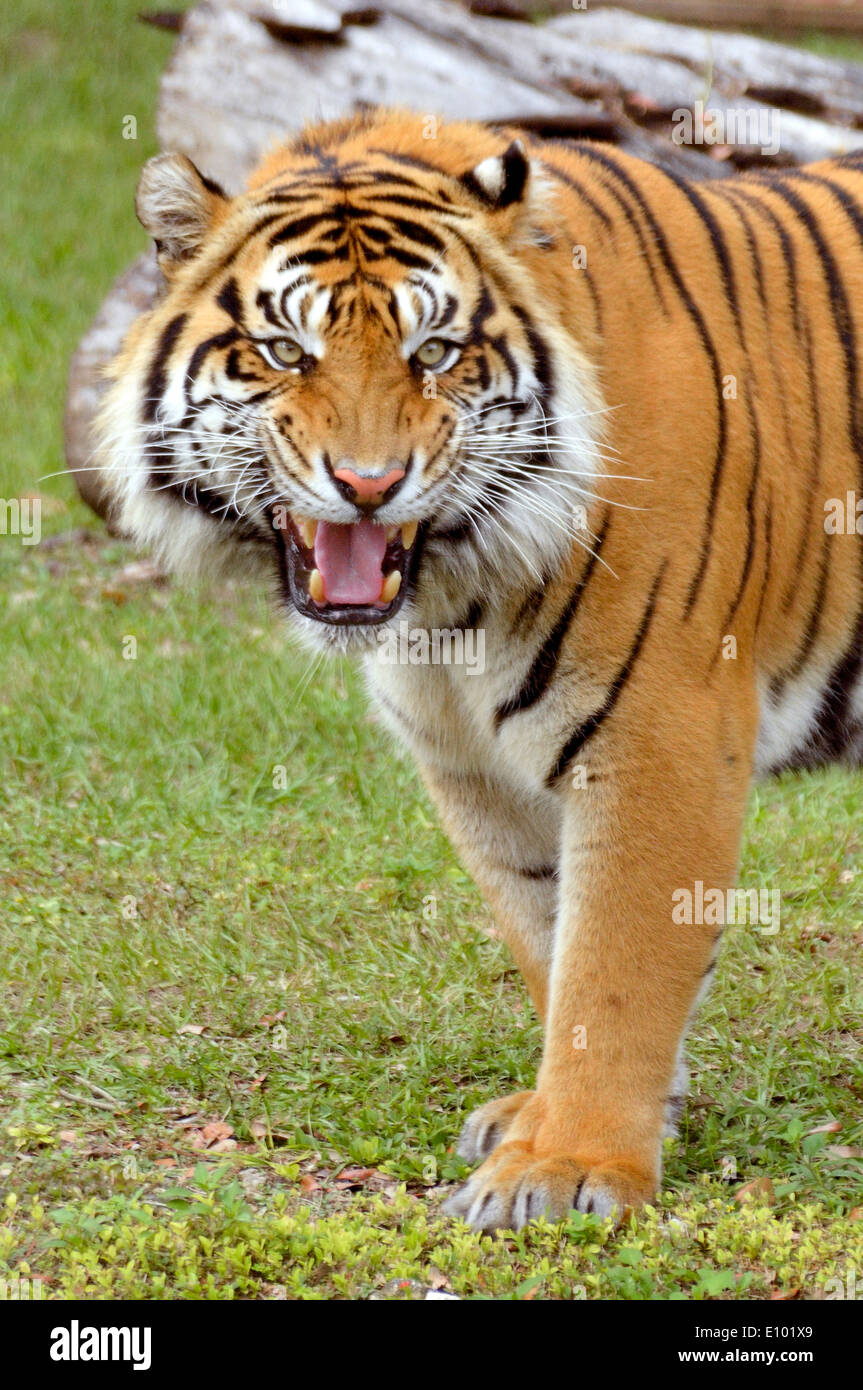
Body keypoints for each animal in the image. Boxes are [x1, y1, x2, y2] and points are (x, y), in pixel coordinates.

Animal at [94, 107, 863, 1231]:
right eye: (285, 352)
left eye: (435, 352)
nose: (368, 484)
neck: (451, 606)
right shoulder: (474, 766)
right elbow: (549, 940)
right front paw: (554, 1121)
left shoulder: (660, 740)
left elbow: (613, 966)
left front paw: (571, 1164)